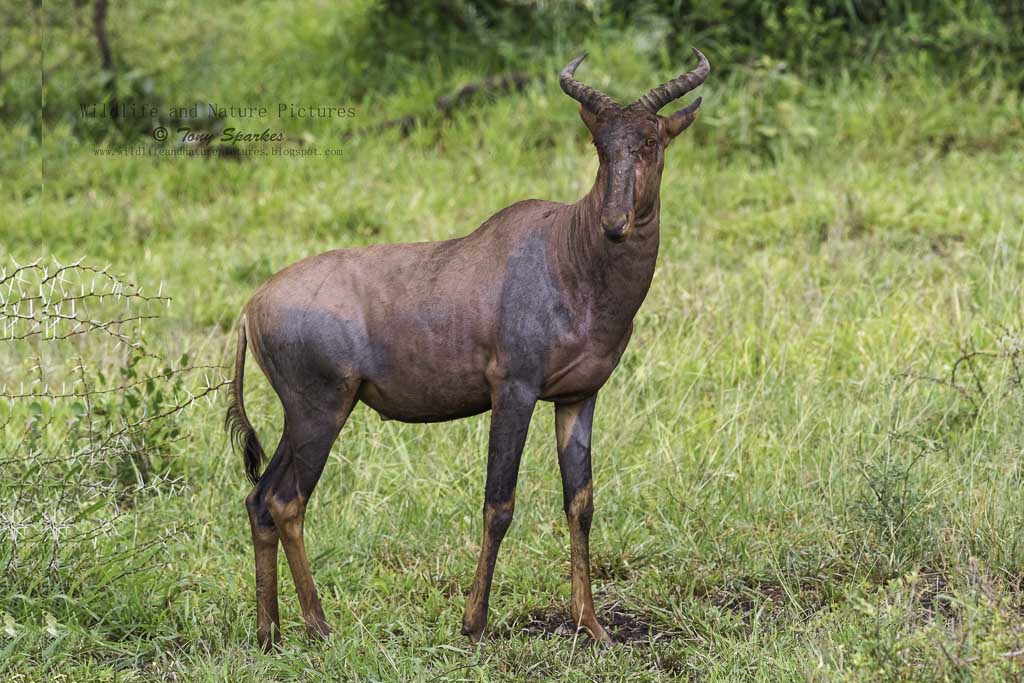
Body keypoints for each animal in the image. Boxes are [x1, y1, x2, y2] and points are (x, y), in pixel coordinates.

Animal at [227, 49, 710, 648]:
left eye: (651, 141)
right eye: (600, 144)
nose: (615, 223)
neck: (566, 251)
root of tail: (251, 306)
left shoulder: (577, 398)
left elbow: (581, 504)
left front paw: (591, 625)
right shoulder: (514, 391)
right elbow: (498, 504)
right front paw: (473, 623)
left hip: (302, 419)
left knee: (259, 500)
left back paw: (269, 631)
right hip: (320, 412)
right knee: (285, 500)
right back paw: (319, 626)